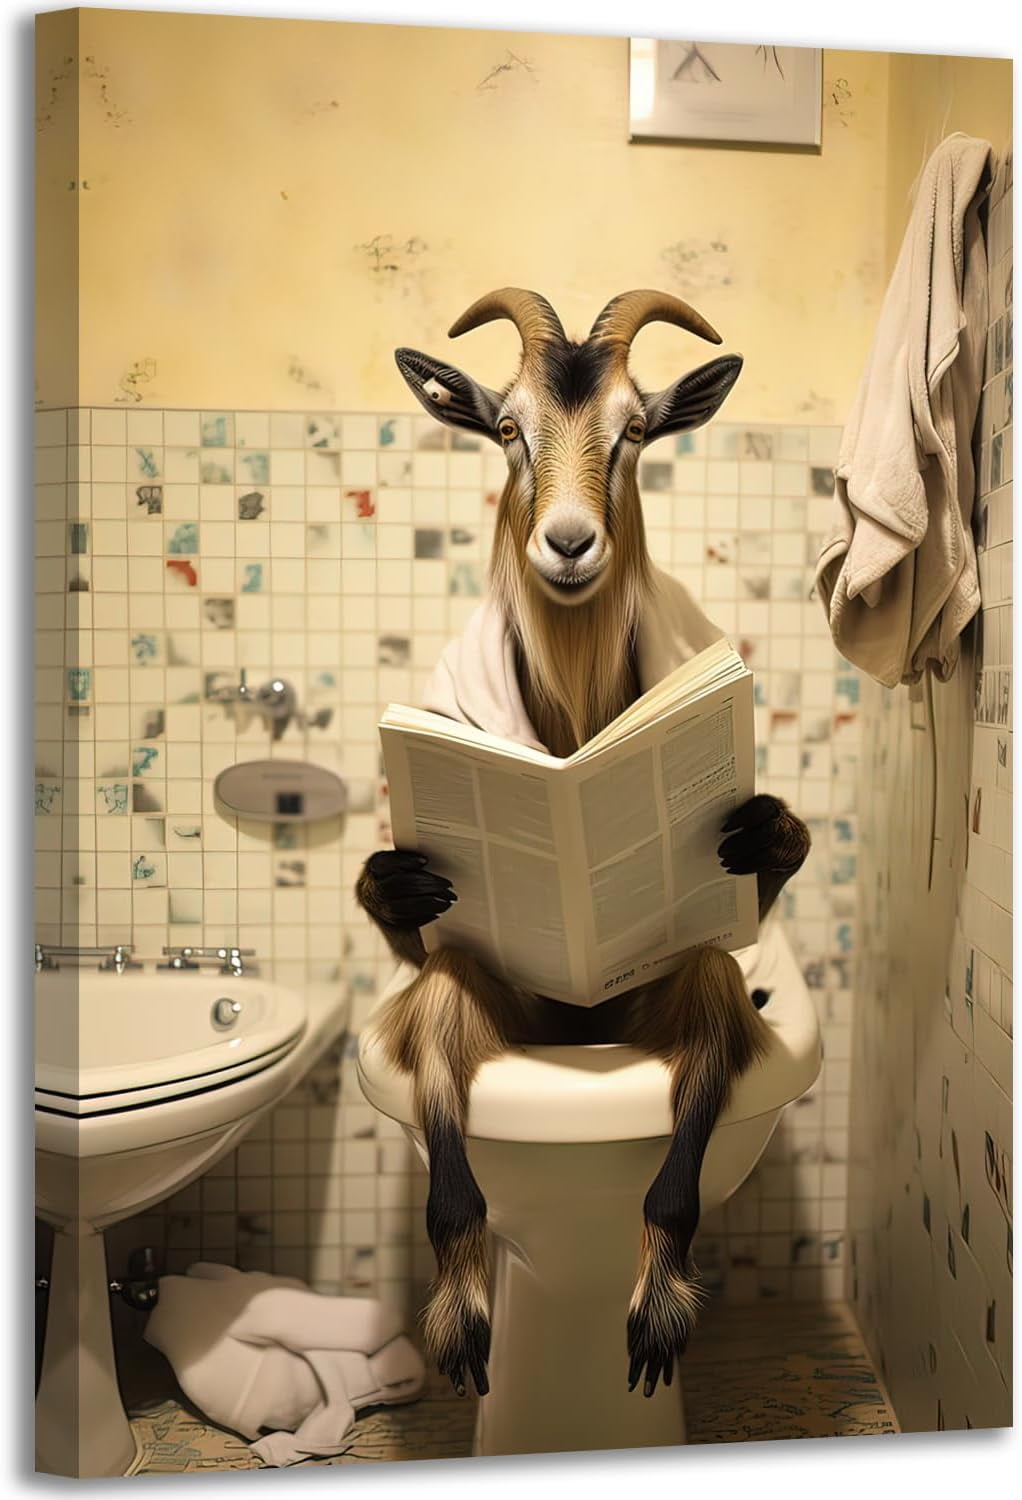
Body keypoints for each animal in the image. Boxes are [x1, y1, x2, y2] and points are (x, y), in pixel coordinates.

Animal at [357, 288, 810, 1400]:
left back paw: (654, 1311)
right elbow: (421, 945)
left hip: (662, 999)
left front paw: (764, 833)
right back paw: (463, 1320)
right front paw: (396, 883)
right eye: (508, 429)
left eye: (635, 430)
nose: (568, 544)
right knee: (447, 1007)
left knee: (707, 990)